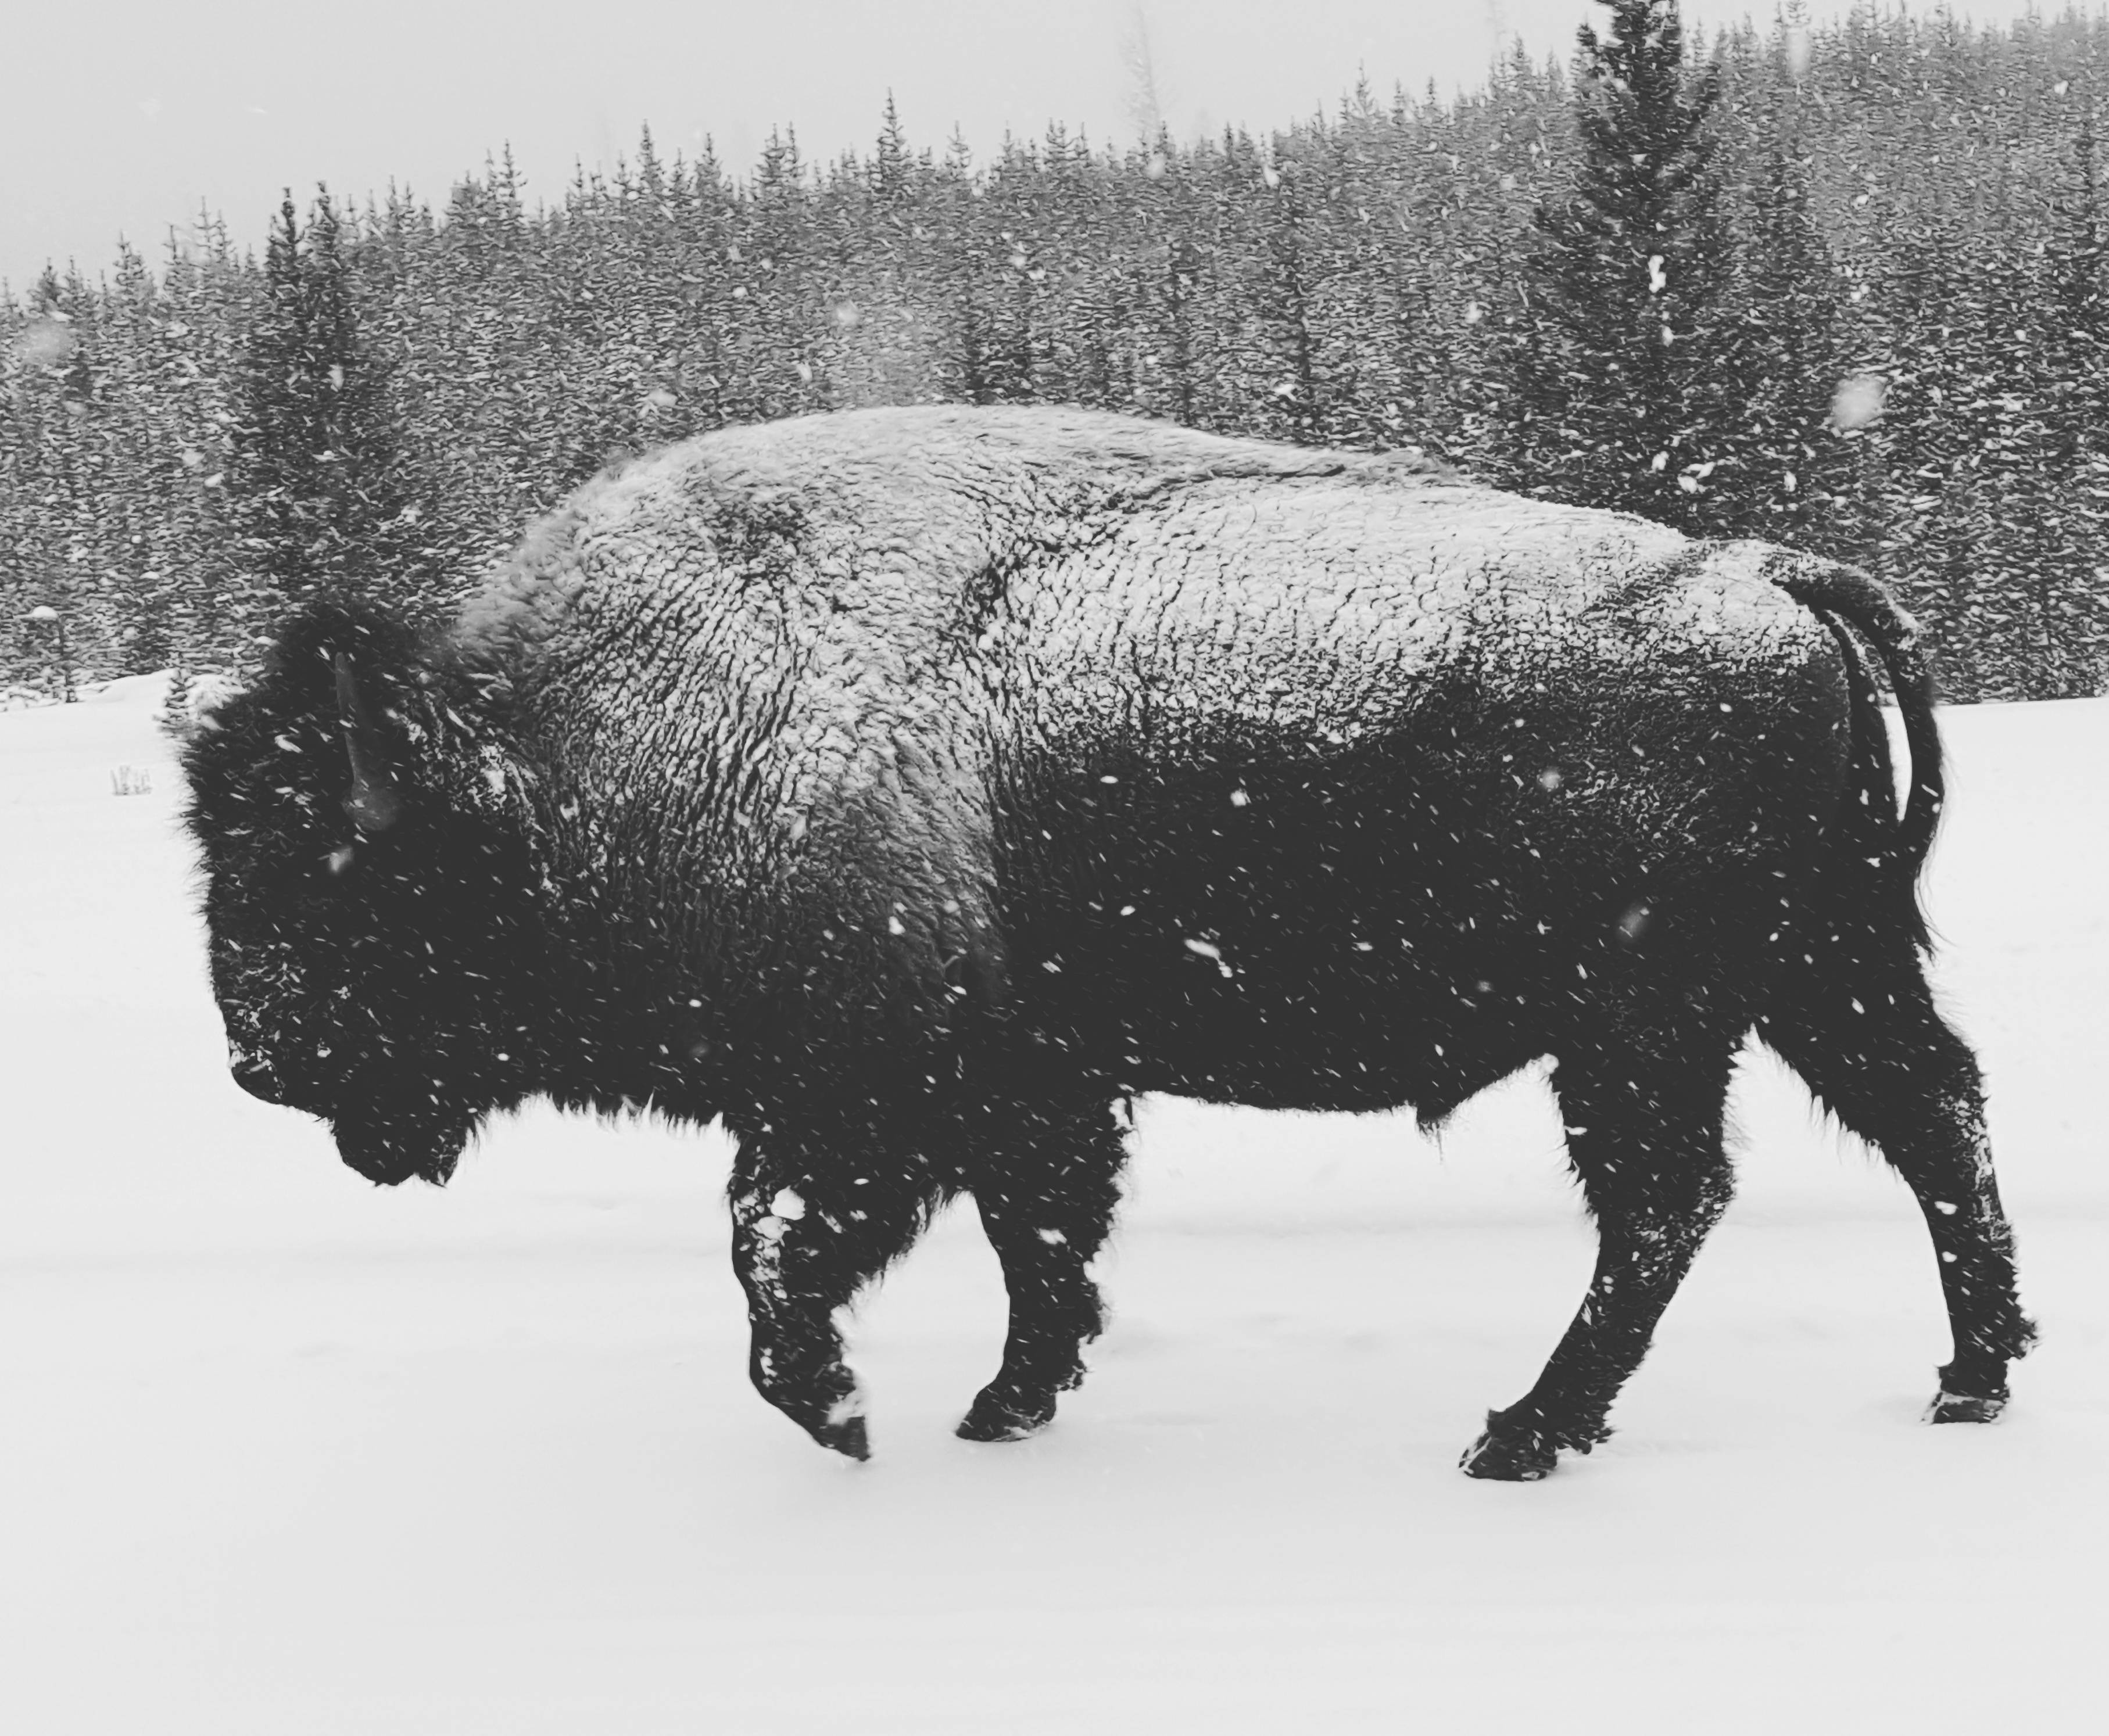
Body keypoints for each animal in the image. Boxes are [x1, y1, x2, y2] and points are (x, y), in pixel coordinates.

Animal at [182, 405, 2034, 1480]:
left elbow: (780, 1250)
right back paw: (1967, 1382)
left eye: (327, 871)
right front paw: (1008, 1401)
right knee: (1923, 1119)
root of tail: (1763, 574)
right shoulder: (1034, 1085)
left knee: (1671, 1201)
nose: (259, 1059)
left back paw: (1517, 1435)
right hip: (1805, 977)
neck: (560, 751)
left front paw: (847, 1417)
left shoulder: (871, 1095)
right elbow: (1039, 1239)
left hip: (1651, 1021)